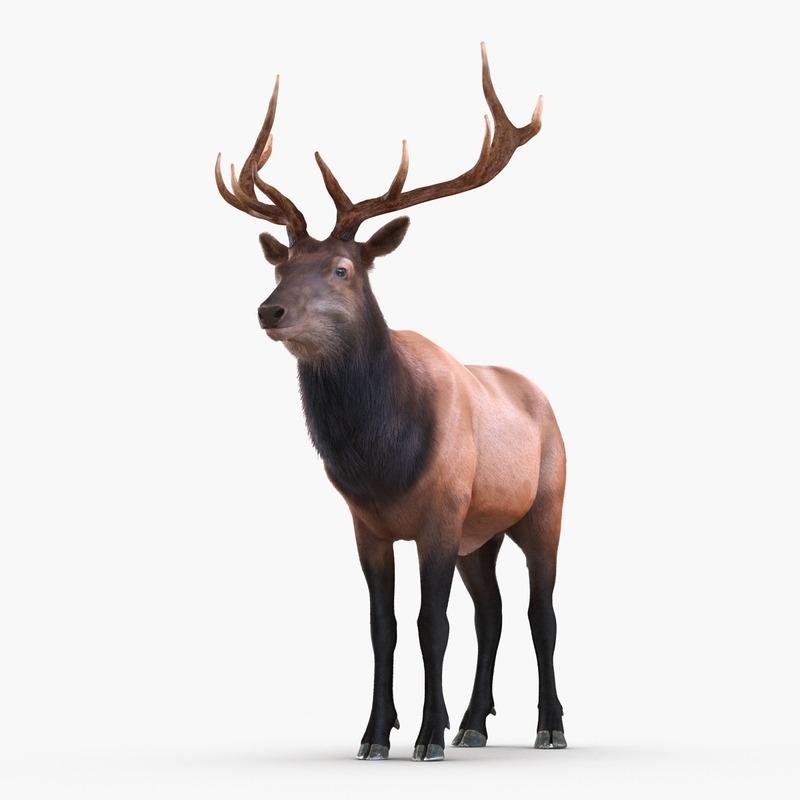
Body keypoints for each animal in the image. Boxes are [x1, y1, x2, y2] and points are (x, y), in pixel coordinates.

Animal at [215, 43, 567, 762]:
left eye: (343, 269)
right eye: (279, 265)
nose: (269, 310)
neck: (381, 462)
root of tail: (541, 396)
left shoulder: (441, 512)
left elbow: (433, 623)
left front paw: (427, 736)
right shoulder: (368, 526)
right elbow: (384, 627)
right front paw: (376, 734)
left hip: (544, 505)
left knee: (537, 612)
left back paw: (549, 725)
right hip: (480, 534)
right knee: (490, 612)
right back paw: (474, 722)